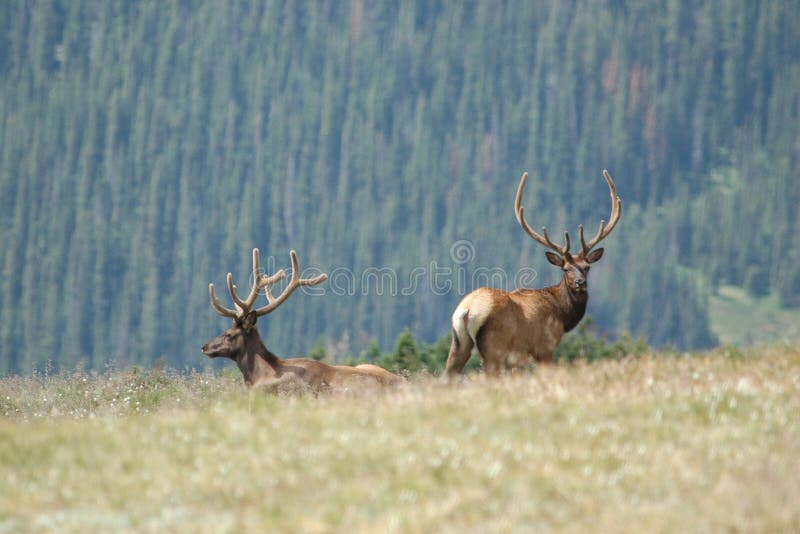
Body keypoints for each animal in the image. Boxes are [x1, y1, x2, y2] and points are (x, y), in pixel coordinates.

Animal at [442, 170, 622, 380]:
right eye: (566, 268)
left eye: (587, 267)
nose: (580, 282)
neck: (562, 315)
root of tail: (467, 310)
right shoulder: (544, 346)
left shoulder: (517, 359)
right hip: (493, 348)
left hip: (458, 344)